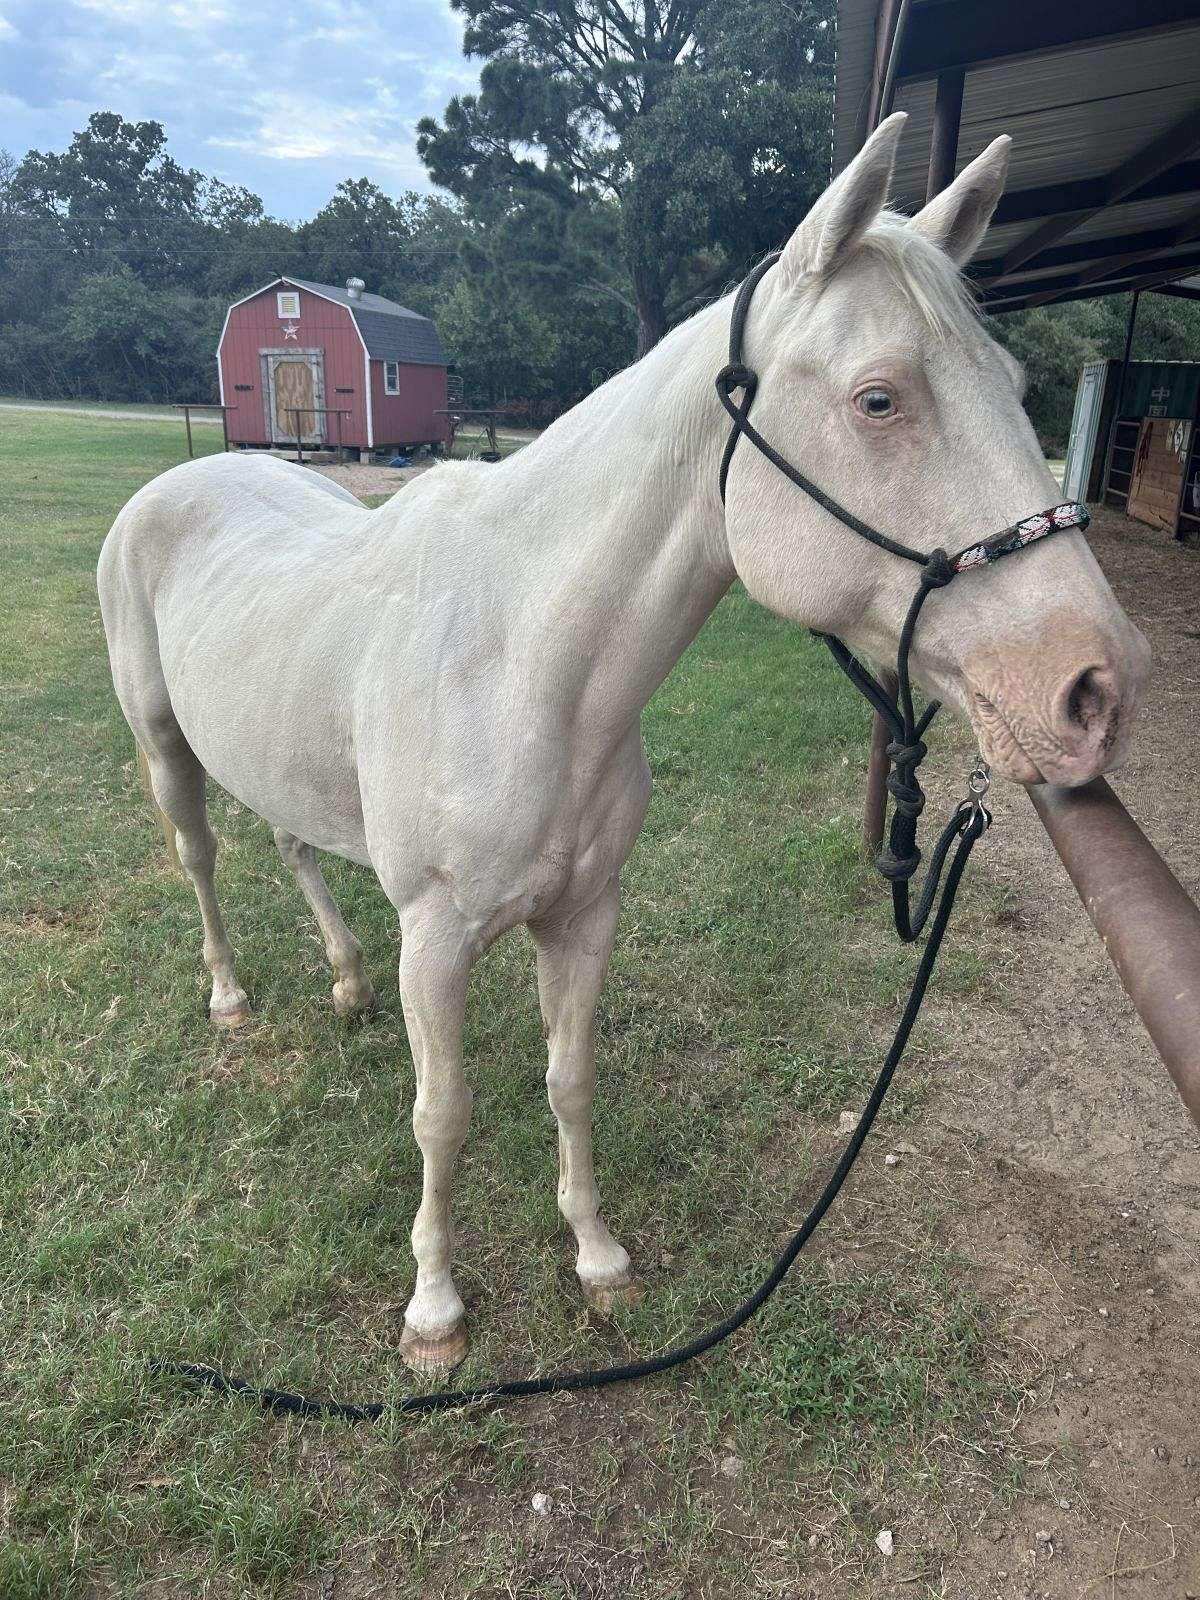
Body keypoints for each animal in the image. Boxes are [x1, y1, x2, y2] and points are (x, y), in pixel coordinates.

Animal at [98, 114, 1150, 1373]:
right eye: (879, 400)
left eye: (1016, 386)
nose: (1096, 688)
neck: (524, 659)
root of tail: (186, 474)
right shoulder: (437, 937)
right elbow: (442, 1114)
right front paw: (434, 1311)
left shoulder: (585, 912)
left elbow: (569, 1078)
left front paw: (598, 1259)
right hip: (165, 746)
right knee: (201, 858)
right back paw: (230, 999)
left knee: (292, 841)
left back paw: (346, 978)